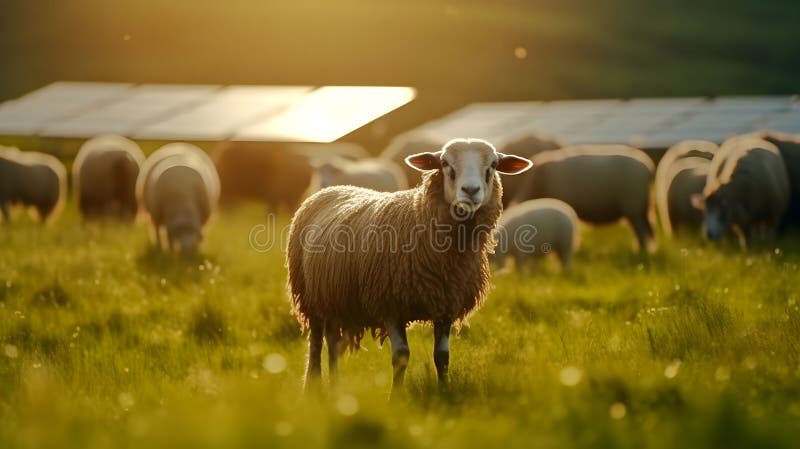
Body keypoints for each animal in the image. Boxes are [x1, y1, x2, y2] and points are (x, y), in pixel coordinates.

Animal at [287, 138, 532, 393]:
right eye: (445, 163)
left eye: (492, 165)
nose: (471, 191)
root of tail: (334, 188)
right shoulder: (389, 304)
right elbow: (401, 356)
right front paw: (395, 396)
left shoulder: (446, 304)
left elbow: (442, 356)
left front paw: (444, 391)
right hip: (309, 295)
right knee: (316, 343)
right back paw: (312, 386)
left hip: (336, 298)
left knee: (333, 342)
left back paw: (335, 387)